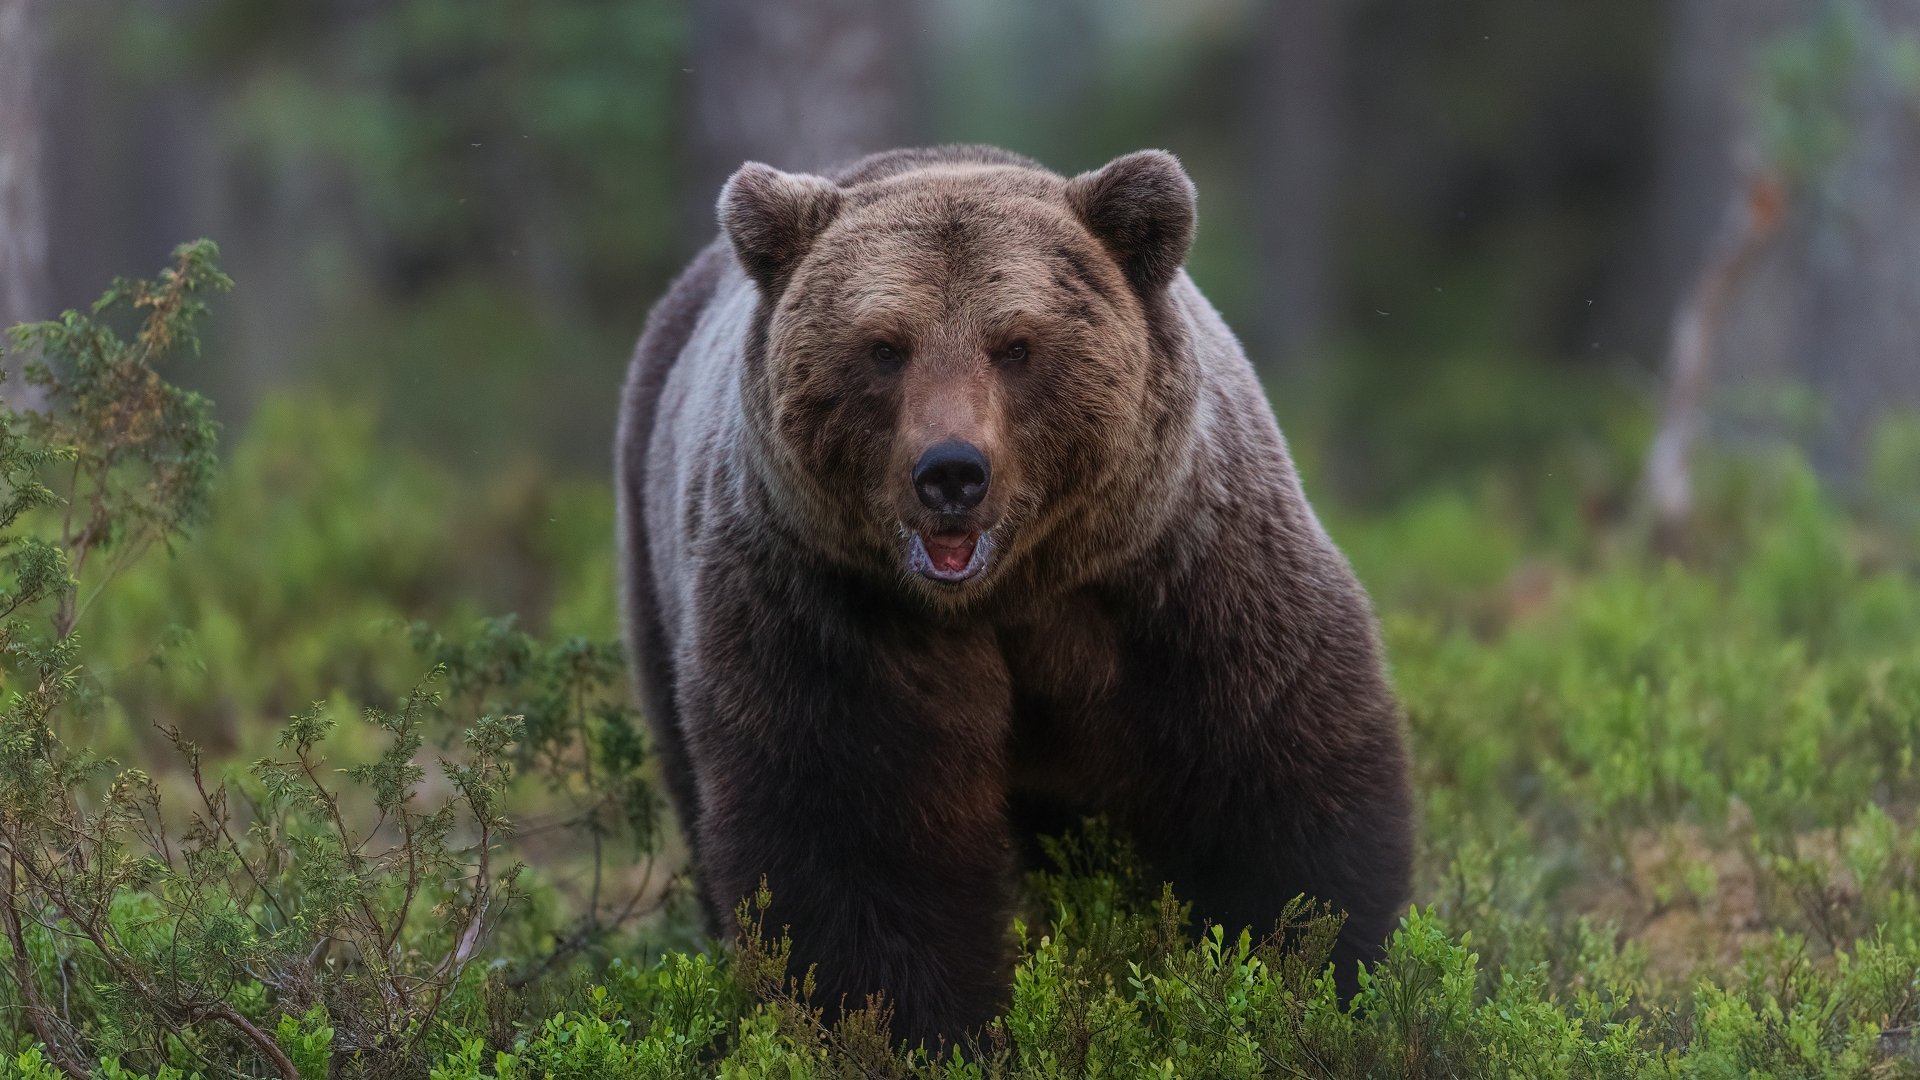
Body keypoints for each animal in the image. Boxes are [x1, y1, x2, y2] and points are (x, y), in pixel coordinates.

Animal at [616, 144, 1413, 1045]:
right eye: (884, 346)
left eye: (1017, 344)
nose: (951, 472)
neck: (1012, 593)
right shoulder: (834, 614)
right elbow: (858, 842)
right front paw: (918, 1026)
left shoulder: (1185, 583)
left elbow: (1275, 791)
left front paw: (1310, 975)